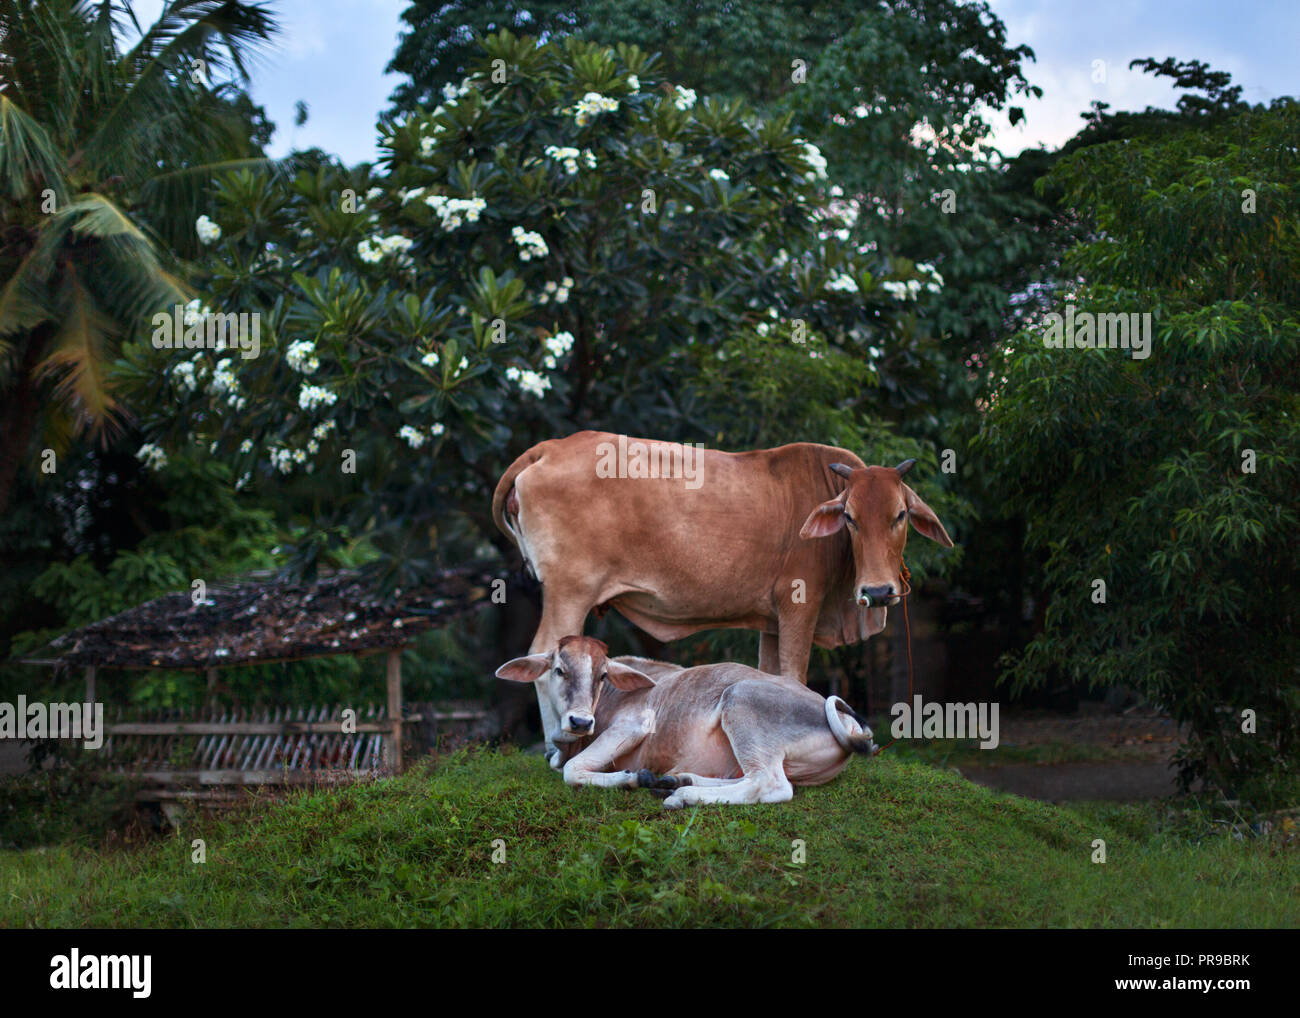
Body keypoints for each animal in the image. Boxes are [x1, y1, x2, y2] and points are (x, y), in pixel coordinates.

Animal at [491, 430, 953, 759]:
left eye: (900, 515)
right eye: (850, 518)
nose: (878, 590)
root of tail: (550, 447)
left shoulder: (772, 621)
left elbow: (772, 672)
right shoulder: (798, 605)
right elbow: (795, 674)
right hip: (570, 590)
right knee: (543, 653)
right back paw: (556, 743)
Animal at [495, 636, 879, 808]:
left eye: (603, 675)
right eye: (559, 670)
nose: (579, 720)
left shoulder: (634, 725)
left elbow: (571, 770)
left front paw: (630, 778)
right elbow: (562, 765)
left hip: (741, 703)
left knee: (768, 784)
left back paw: (682, 794)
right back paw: (676, 779)